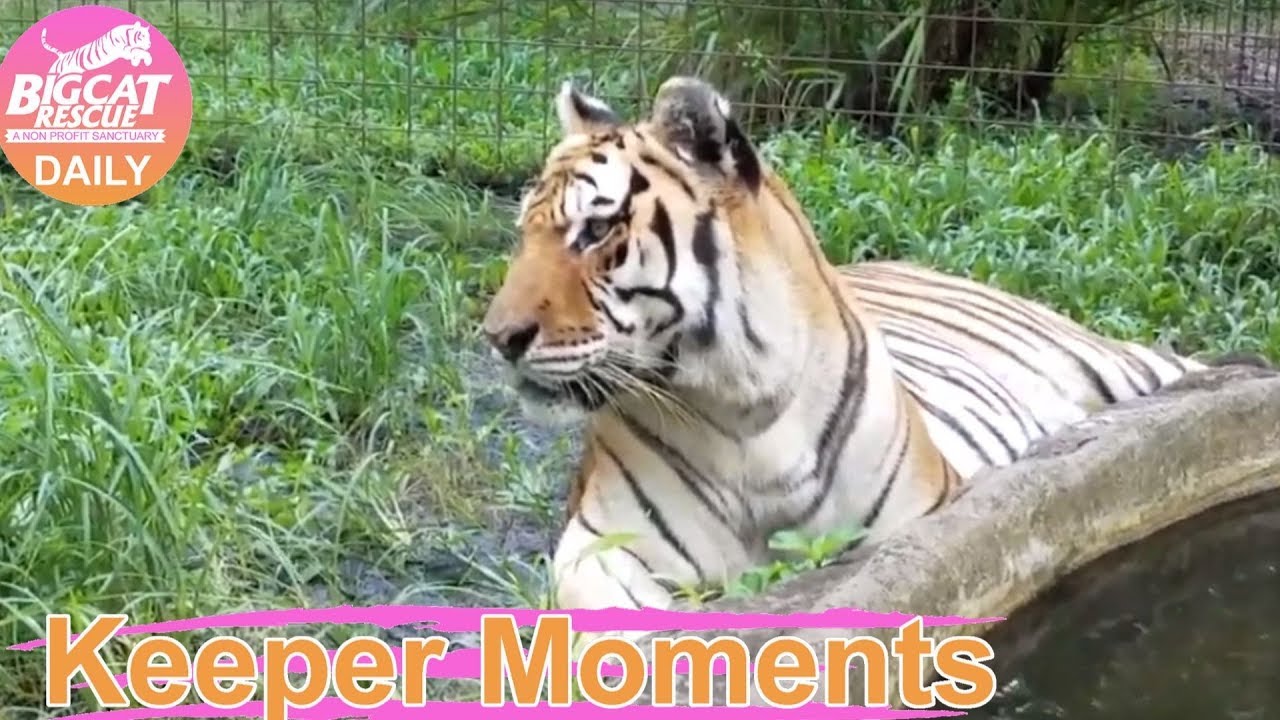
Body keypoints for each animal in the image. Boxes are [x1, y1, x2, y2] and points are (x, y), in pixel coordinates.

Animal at [481, 75, 1217, 629]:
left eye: (595, 230)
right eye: (524, 233)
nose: (497, 337)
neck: (739, 408)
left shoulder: (918, 522)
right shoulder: (601, 543)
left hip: (1129, 364)